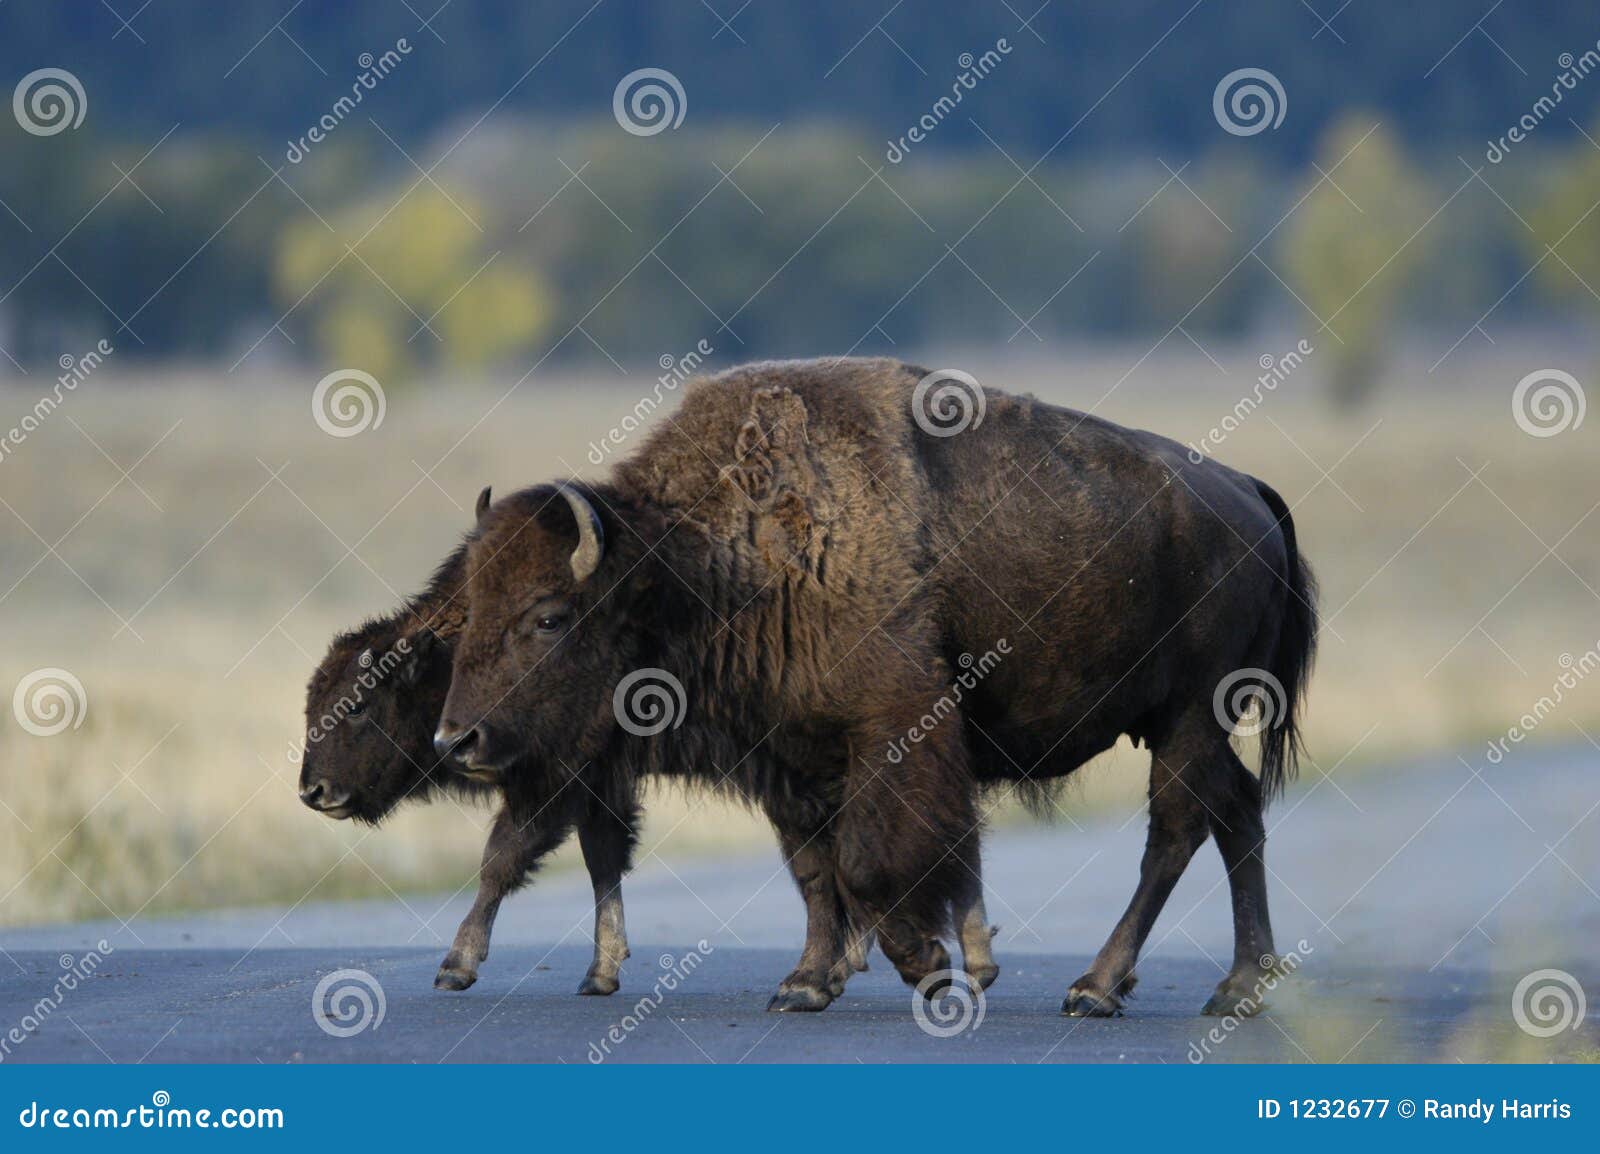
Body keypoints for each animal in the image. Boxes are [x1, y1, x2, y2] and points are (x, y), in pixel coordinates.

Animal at [436, 357, 1315, 1016]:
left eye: (550, 616)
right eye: (470, 606)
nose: (456, 739)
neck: (700, 564)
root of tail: (1249, 493)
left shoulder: (896, 729)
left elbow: (868, 864)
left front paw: (928, 966)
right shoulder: (788, 754)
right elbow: (814, 868)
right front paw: (805, 983)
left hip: (1189, 715)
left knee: (1175, 830)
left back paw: (1096, 988)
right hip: (1188, 723)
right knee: (1236, 811)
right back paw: (1238, 986)